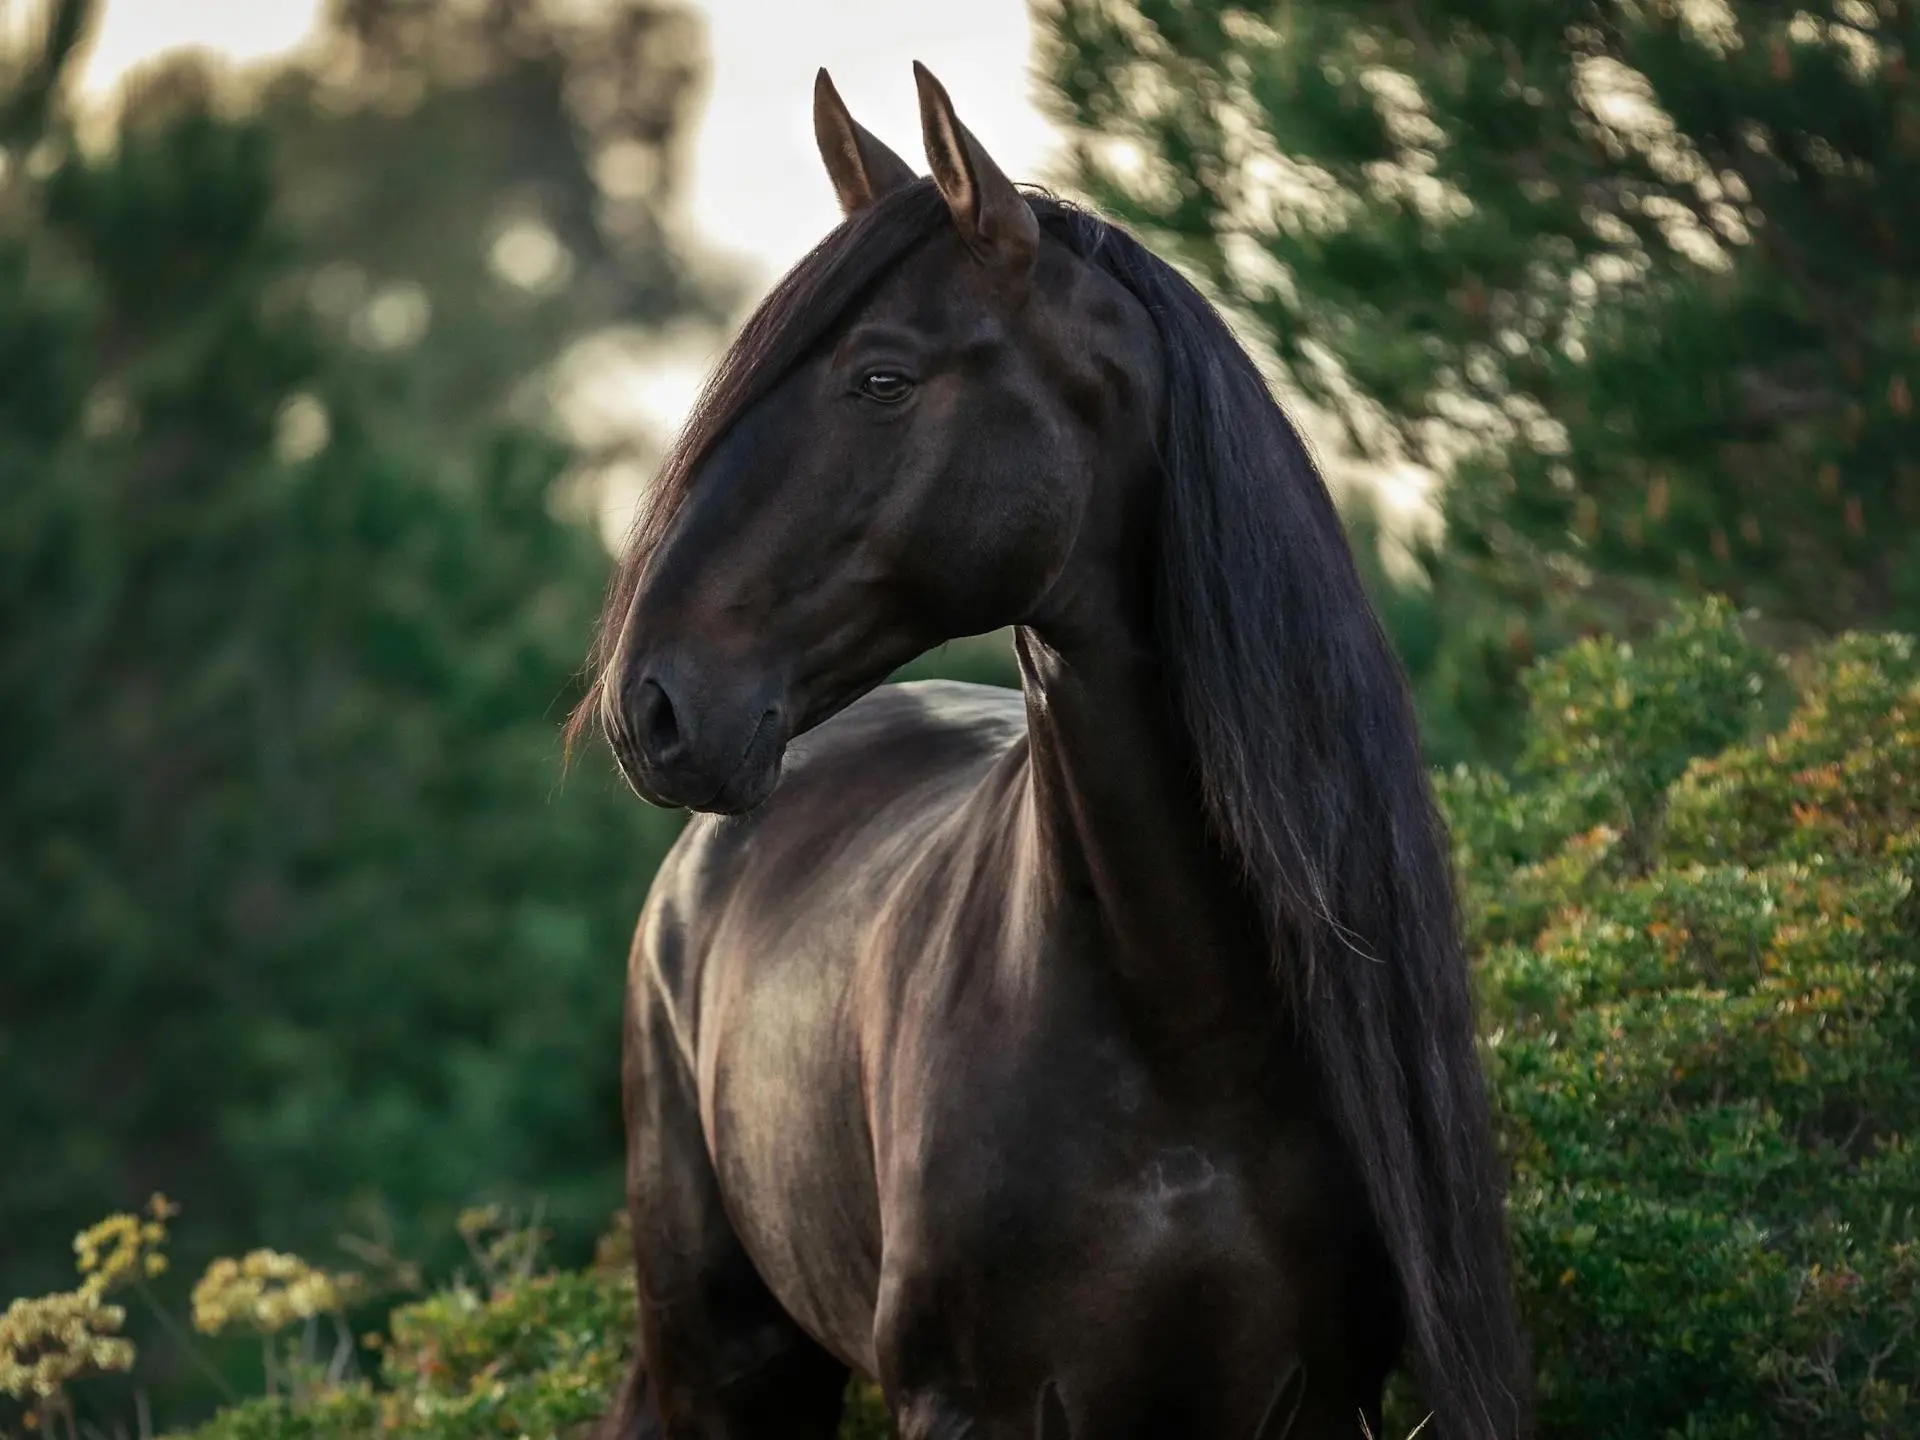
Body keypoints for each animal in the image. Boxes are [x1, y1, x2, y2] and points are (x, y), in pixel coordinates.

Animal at [575, 63, 1528, 1440]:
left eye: (881, 379)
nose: (649, 705)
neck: (1183, 1021)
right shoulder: (970, 1404)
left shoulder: (1318, 1398)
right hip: (722, 1355)